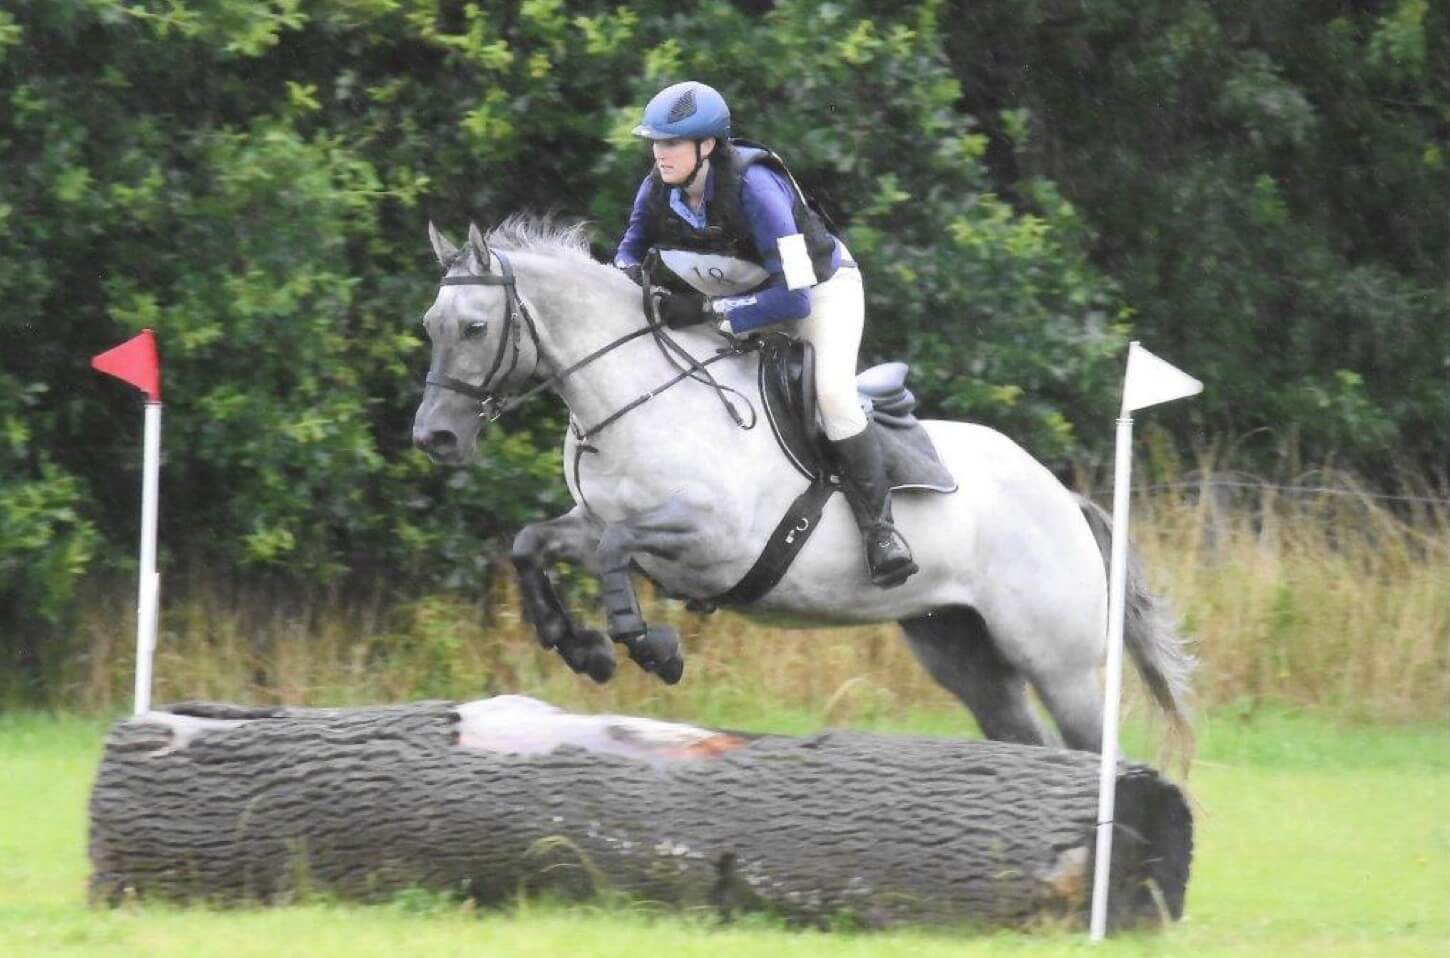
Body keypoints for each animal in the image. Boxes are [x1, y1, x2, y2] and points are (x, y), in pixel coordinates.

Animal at [412, 215, 1195, 754]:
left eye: (474, 327)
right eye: (429, 326)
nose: (434, 438)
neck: (639, 395)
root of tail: (1066, 499)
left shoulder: (712, 540)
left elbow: (613, 552)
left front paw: (649, 648)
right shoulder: (599, 521)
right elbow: (533, 543)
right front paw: (581, 648)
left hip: (1060, 663)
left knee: (1090, 748)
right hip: (959, 648)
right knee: (1020, 738)